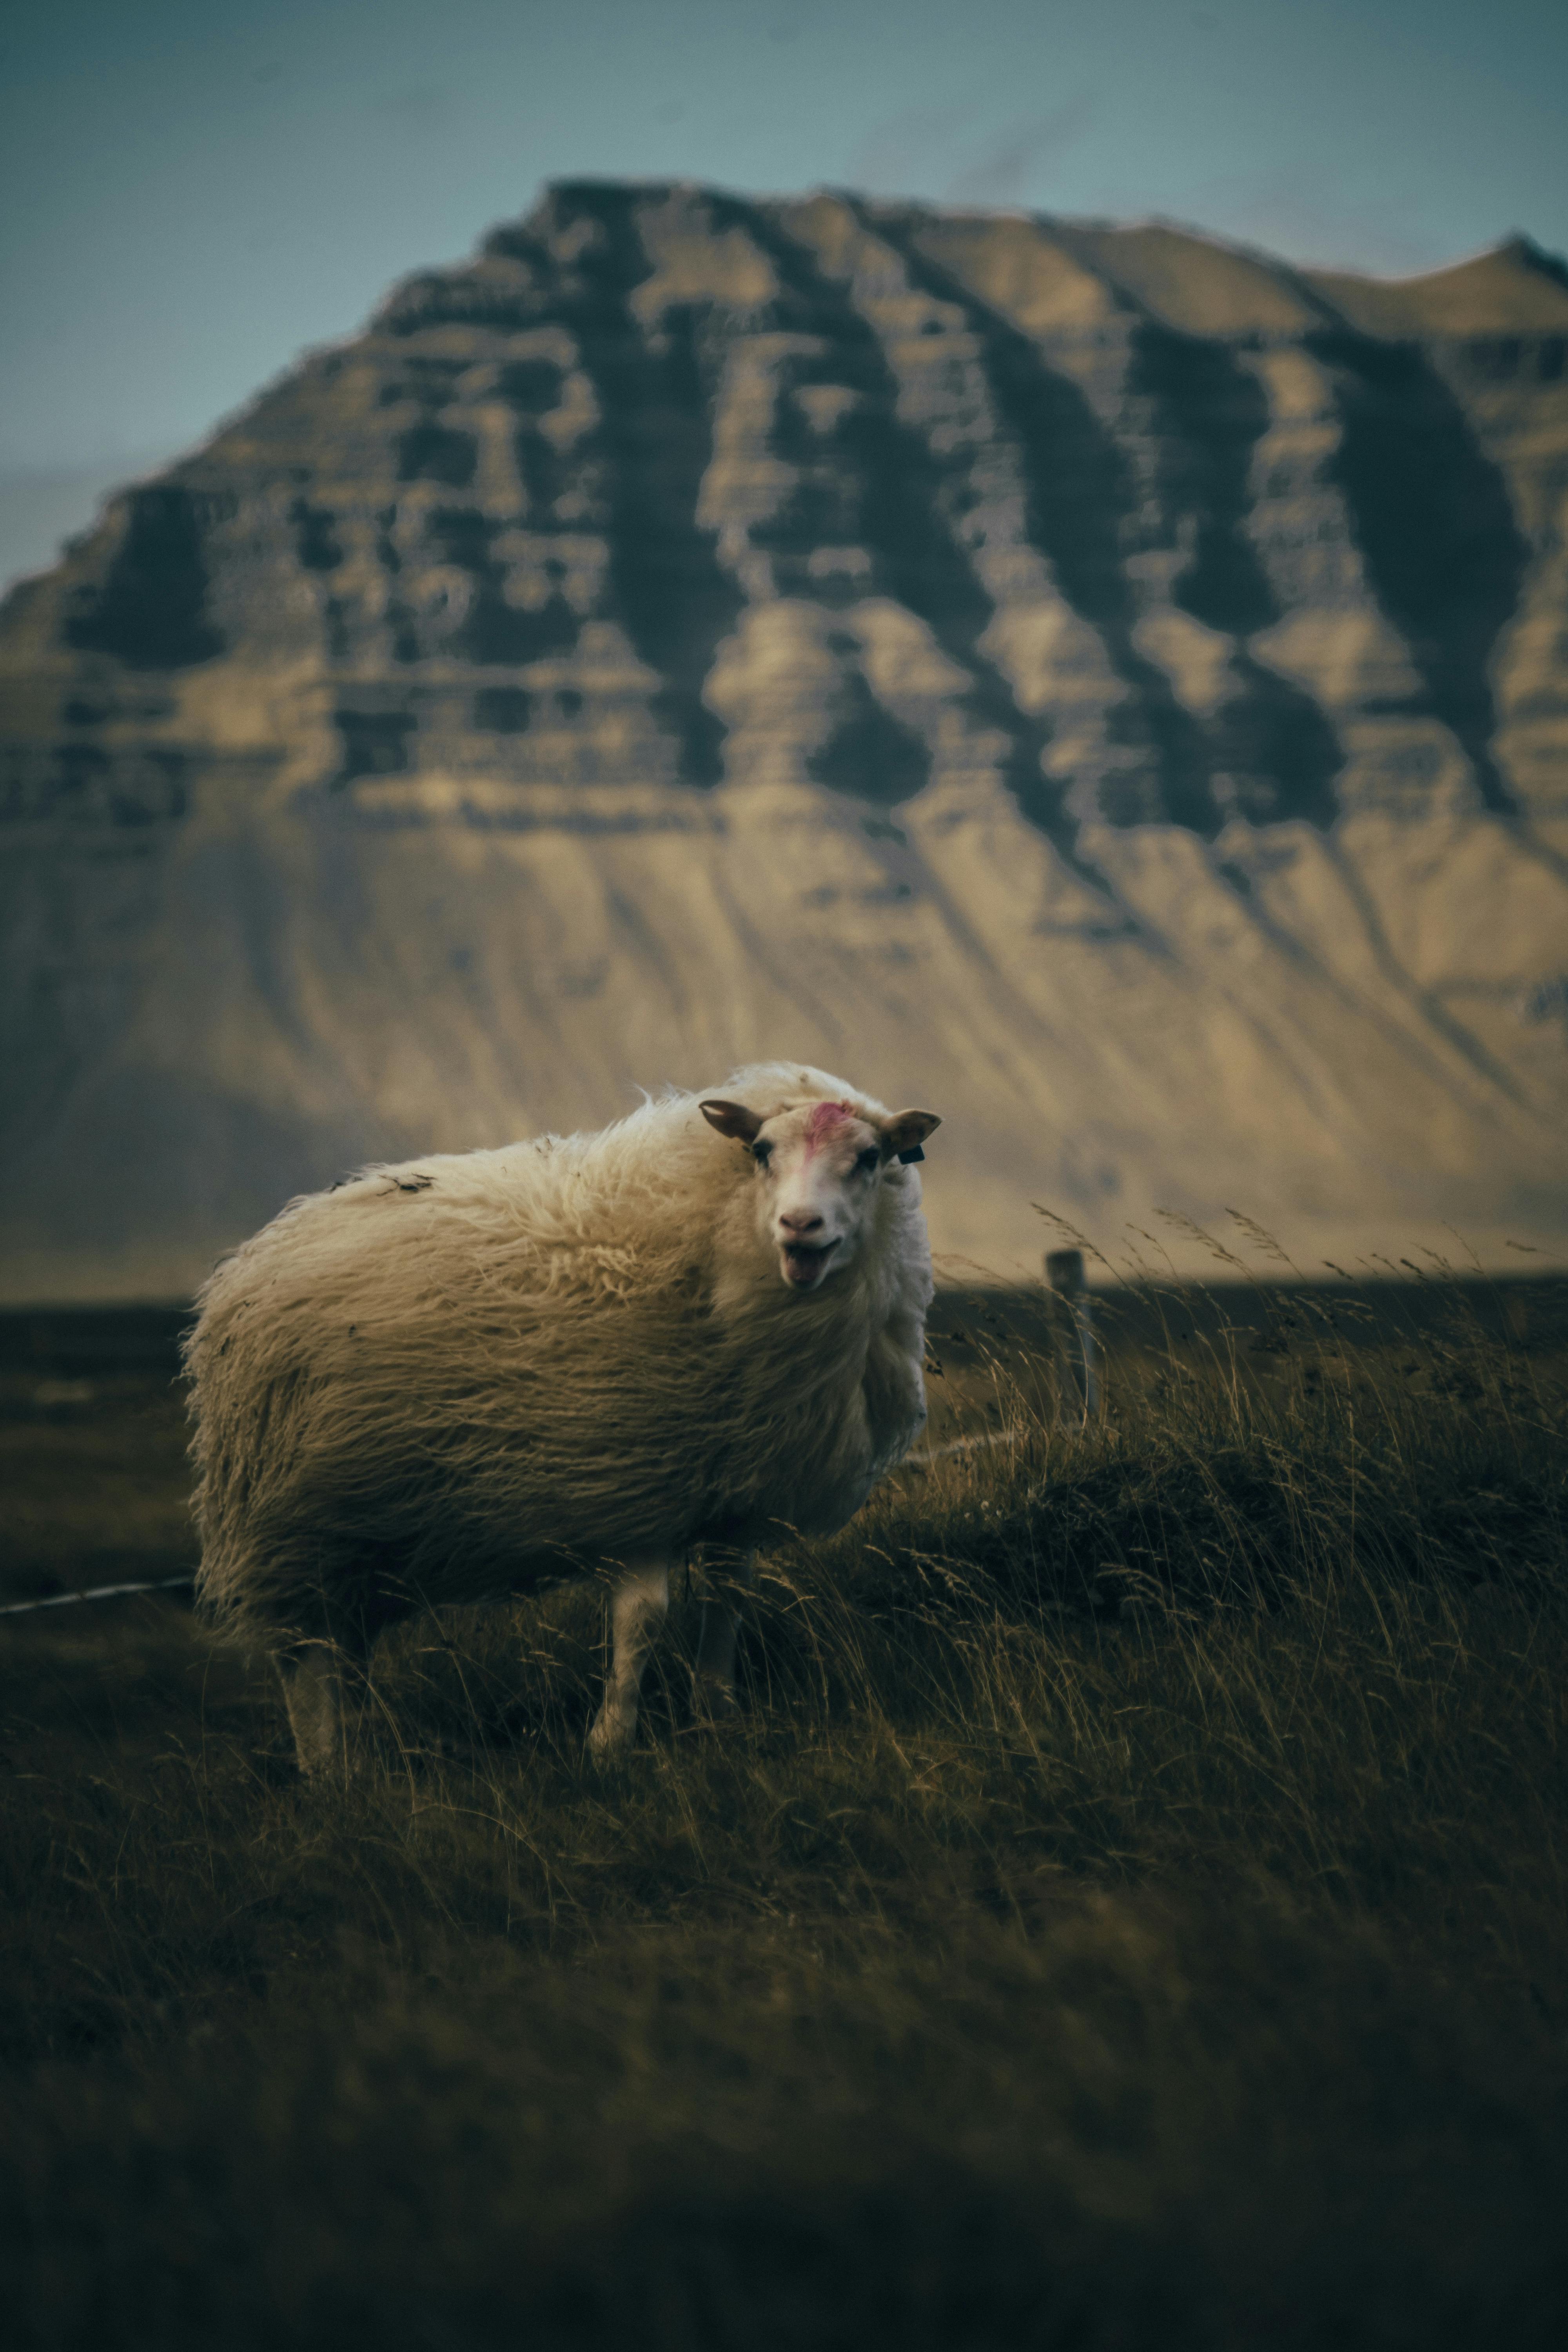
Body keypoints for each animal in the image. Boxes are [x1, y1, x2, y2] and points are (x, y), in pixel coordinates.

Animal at [184, 1063, 940, 1773]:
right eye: (760, 1151)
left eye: (870, 1157)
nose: (801, 1228)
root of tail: (253, 1254)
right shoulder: (636, 1479)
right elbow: (642, 1621)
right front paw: (609, 1744)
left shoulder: (734, 1489)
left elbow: (728, 1600)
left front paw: (716, 1712)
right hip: (290, 1527)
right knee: (304, 1659)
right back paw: (329, 1771)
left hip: (354, 1544)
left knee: (344, 1652)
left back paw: (363, 1751)